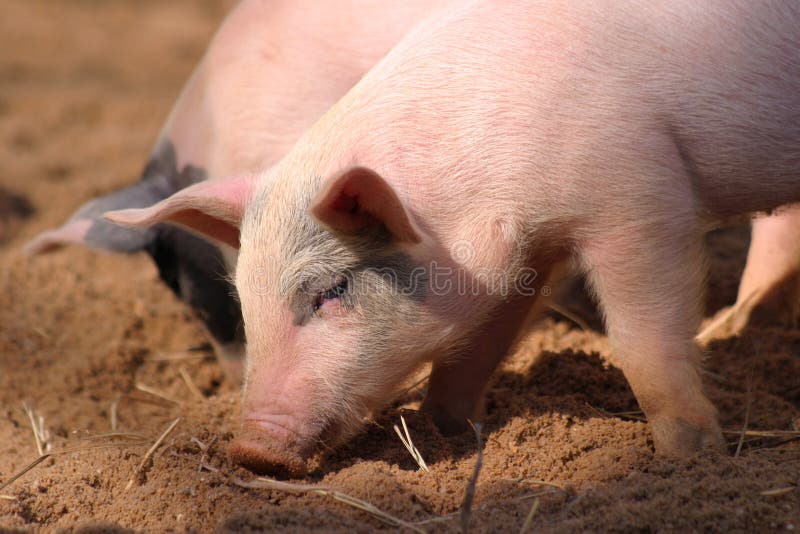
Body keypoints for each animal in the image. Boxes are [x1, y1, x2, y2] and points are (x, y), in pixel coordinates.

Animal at [106, 0, 800, 476]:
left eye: (332, 289)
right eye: (243, 301)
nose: (252, 450)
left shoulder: (641, 203)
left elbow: (641, 343)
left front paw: (693, 461)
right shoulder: (522, 254)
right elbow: (473, 350)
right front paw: (444, 433)